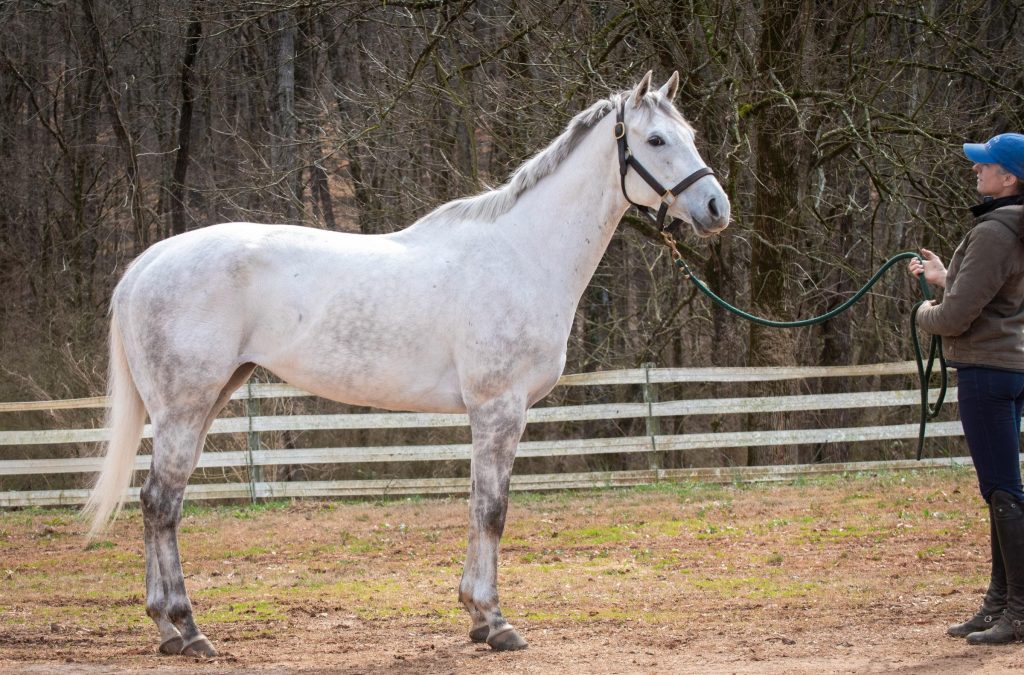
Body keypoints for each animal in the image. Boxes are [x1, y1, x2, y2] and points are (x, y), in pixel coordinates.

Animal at [83, 71, 730, 657]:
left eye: (692, 134)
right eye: (655, 140)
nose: (715, 207)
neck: (521, 254)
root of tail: (147, 263)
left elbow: (477, 505)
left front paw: (476, 618)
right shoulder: (500, 408)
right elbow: (492, 510)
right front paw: (496, 623)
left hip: (206, 401)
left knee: (158, 502)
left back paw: (167, 630)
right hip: (184, 406)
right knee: (160, 503)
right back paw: (188, 630)